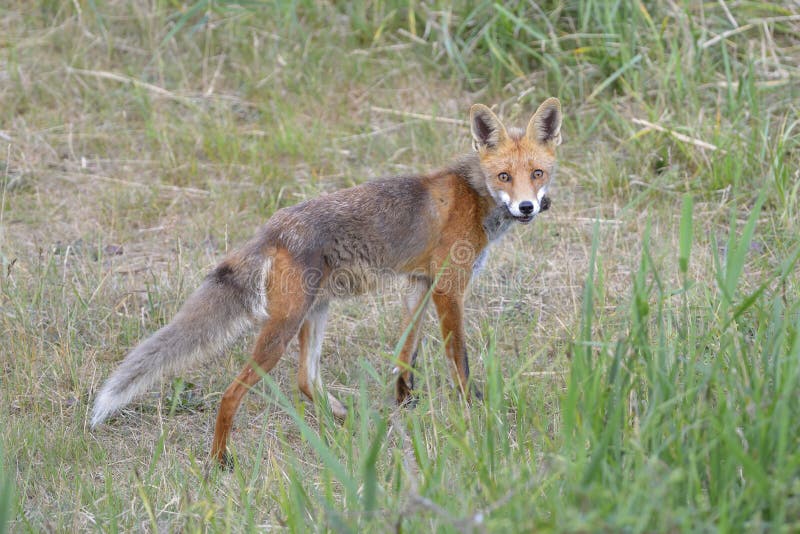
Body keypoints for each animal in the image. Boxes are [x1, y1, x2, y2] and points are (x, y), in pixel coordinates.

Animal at [91, 98, 563, 467]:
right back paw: (221, 460)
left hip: (316, 312)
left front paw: (405, 404)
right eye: (504, 176)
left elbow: (405, 355)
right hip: (282, 329)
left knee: (305, 380)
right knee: (231, 394)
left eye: (537, 173)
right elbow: (459, 362)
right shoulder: (449, 287)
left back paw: (346, 420)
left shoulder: (420, 284)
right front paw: (476, 414)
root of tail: (273, 228)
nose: (526, 207)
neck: (475, 196)